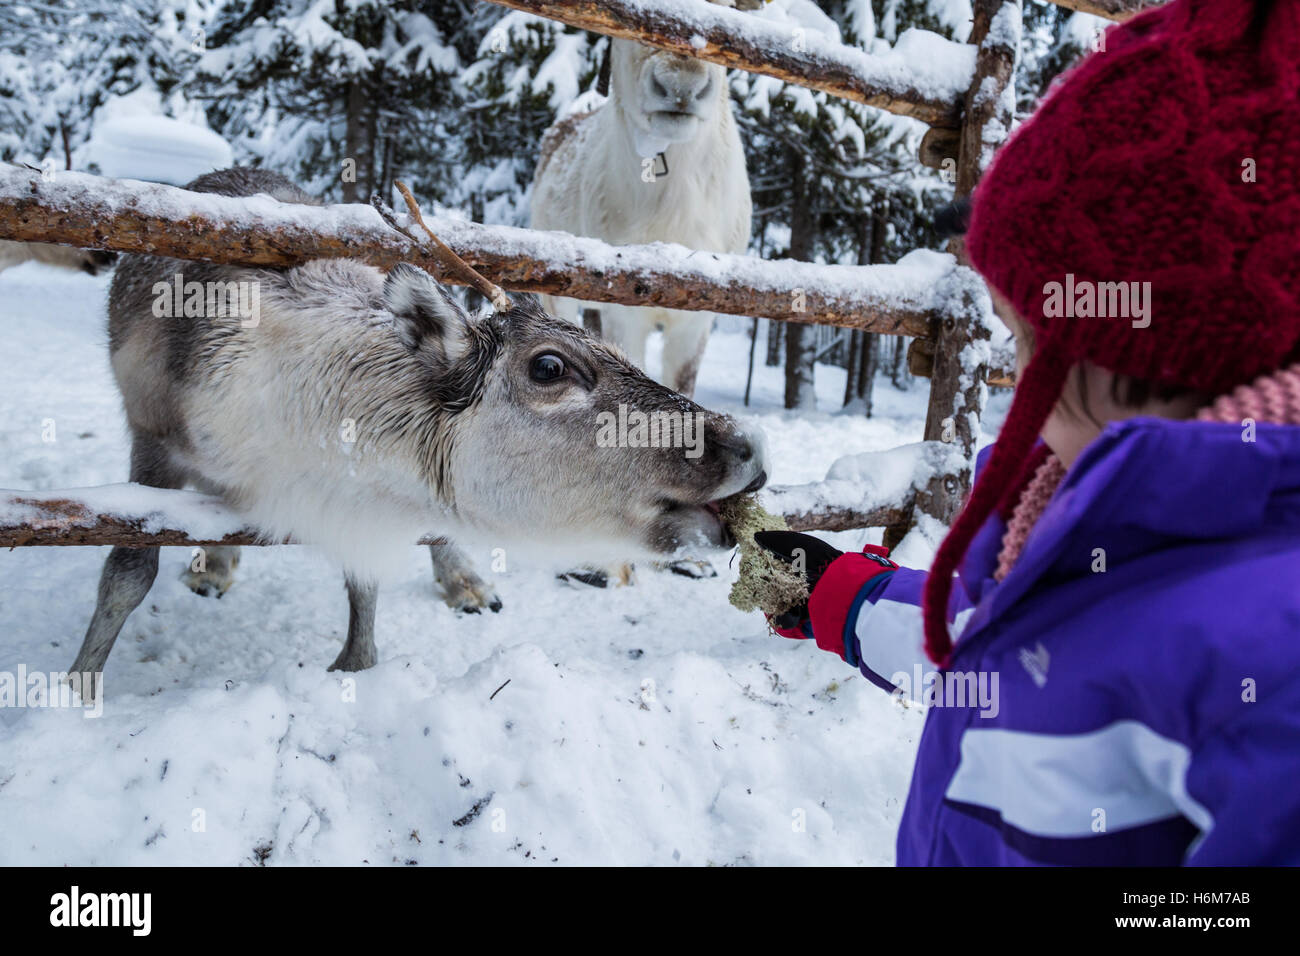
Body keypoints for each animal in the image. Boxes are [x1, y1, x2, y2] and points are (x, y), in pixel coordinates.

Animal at [70, 166, 767, 692]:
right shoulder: (151, 434)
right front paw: (79, 686)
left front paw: (356, 663)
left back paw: (464, 580)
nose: (750, 447)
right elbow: (127, 574)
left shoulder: (366, 497)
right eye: (549, 366)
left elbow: (366, 590)